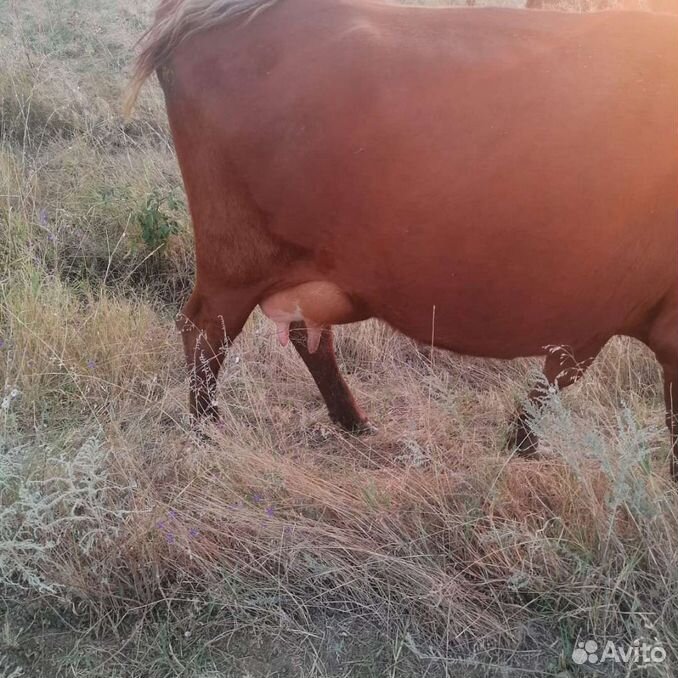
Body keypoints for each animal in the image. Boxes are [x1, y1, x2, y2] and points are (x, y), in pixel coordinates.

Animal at [126, 0, 678, 476]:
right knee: (204, 332)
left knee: (305, 336)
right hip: (235, 258)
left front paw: (519, 443)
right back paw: (205, 432)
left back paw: (354, 423)